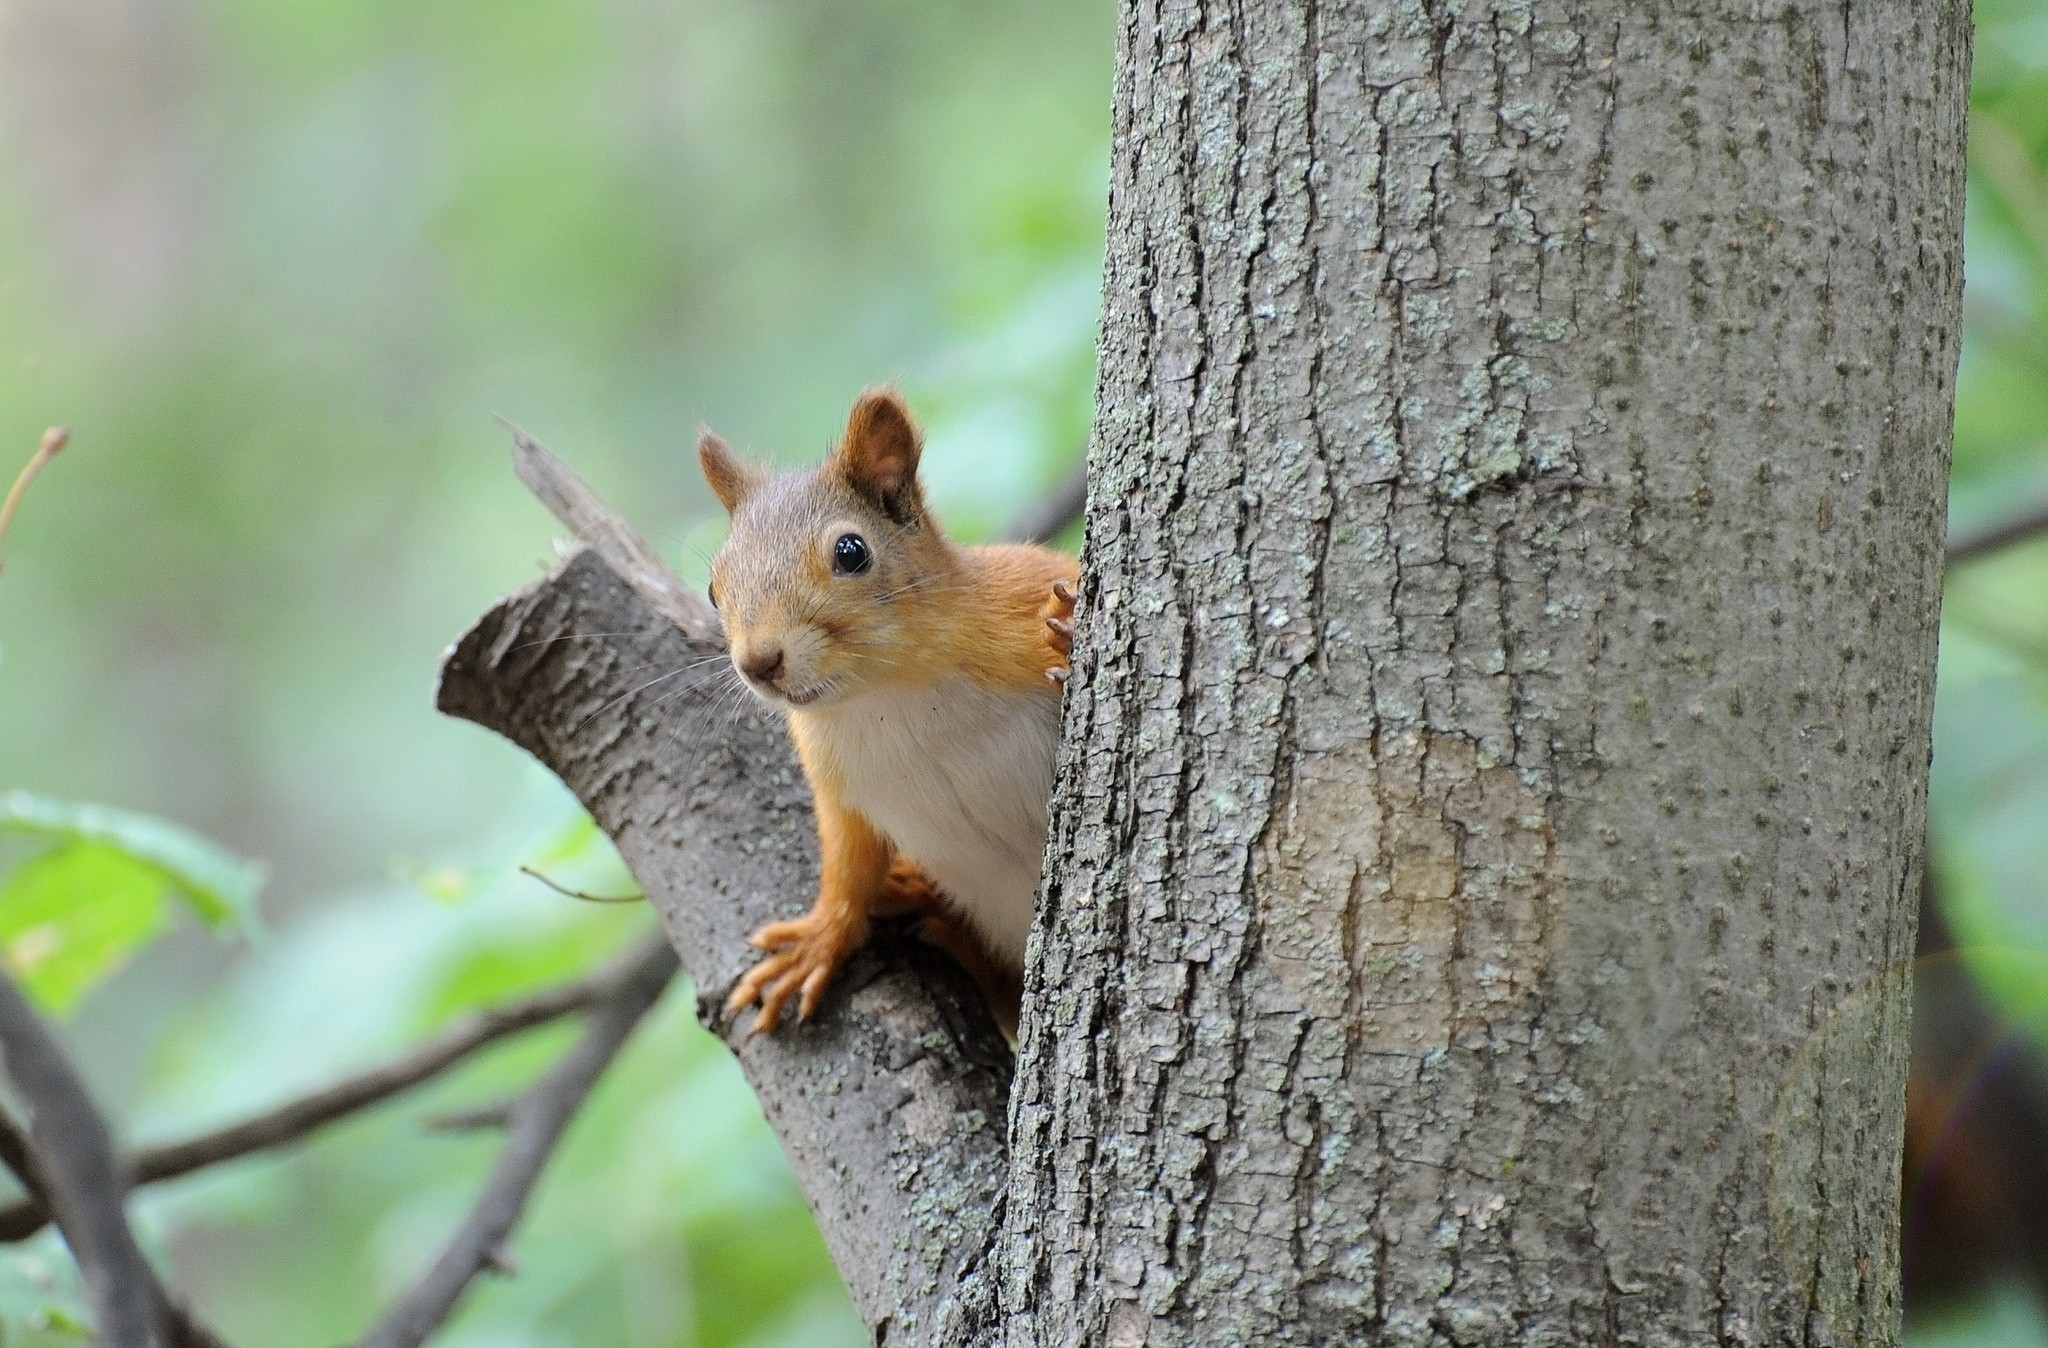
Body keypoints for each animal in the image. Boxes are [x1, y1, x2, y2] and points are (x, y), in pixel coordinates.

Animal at [696, 387, 1079, 1037]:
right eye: (713, 589)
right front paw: (820, 940)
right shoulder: (835, 782)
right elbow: (847, 861)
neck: (889, 695)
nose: (759, 663)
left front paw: (1071, 633)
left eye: (851, 552)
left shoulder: (1020, 590)